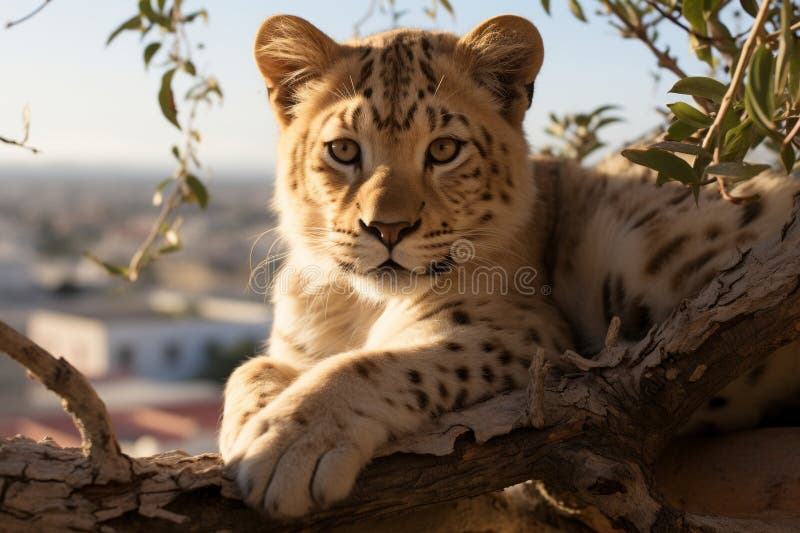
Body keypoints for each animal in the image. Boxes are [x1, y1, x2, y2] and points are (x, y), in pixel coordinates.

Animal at [219, 13, 800, 517]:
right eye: (342, 150)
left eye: (444, 150)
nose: (387, 229)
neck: (356, 305)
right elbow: (252, 368)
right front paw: (249, 425)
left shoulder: (529, 338)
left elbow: (370, 366)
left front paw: (287, 445)